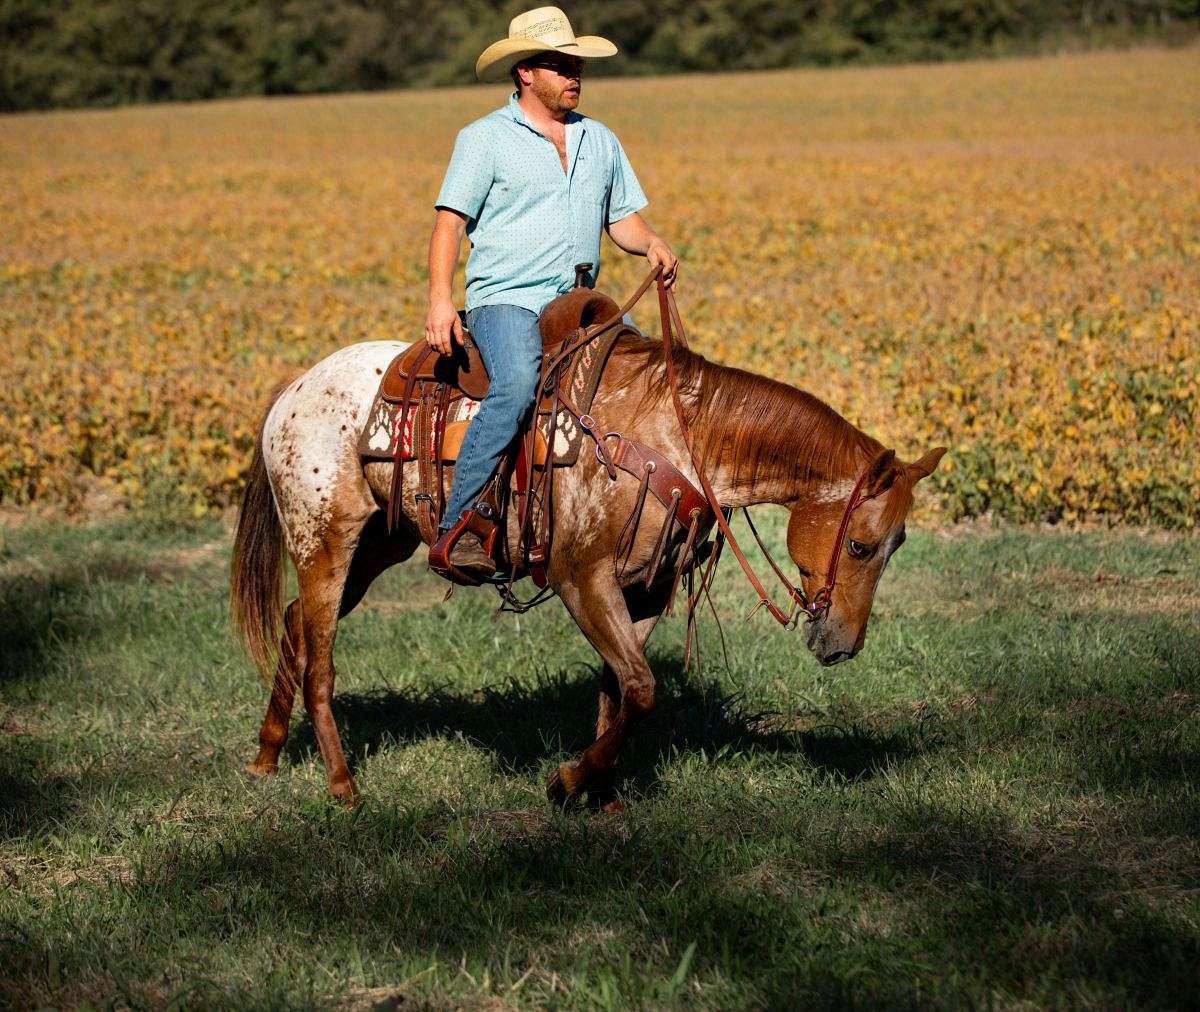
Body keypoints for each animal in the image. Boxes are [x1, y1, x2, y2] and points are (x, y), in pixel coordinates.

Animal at [230, 323, 945, 808]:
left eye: (898, 545)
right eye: (860, 546)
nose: (843, 645)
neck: (674, 437)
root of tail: (294, 390)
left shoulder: (646, 588)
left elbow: (621, 687)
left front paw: (598, 794)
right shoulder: (582, 578)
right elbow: (642, 688)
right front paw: (568, 779)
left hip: (380, 544)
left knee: (294, 623)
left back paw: (266, 756)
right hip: (326, 539)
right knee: (319, 657)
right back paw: (342, 785)